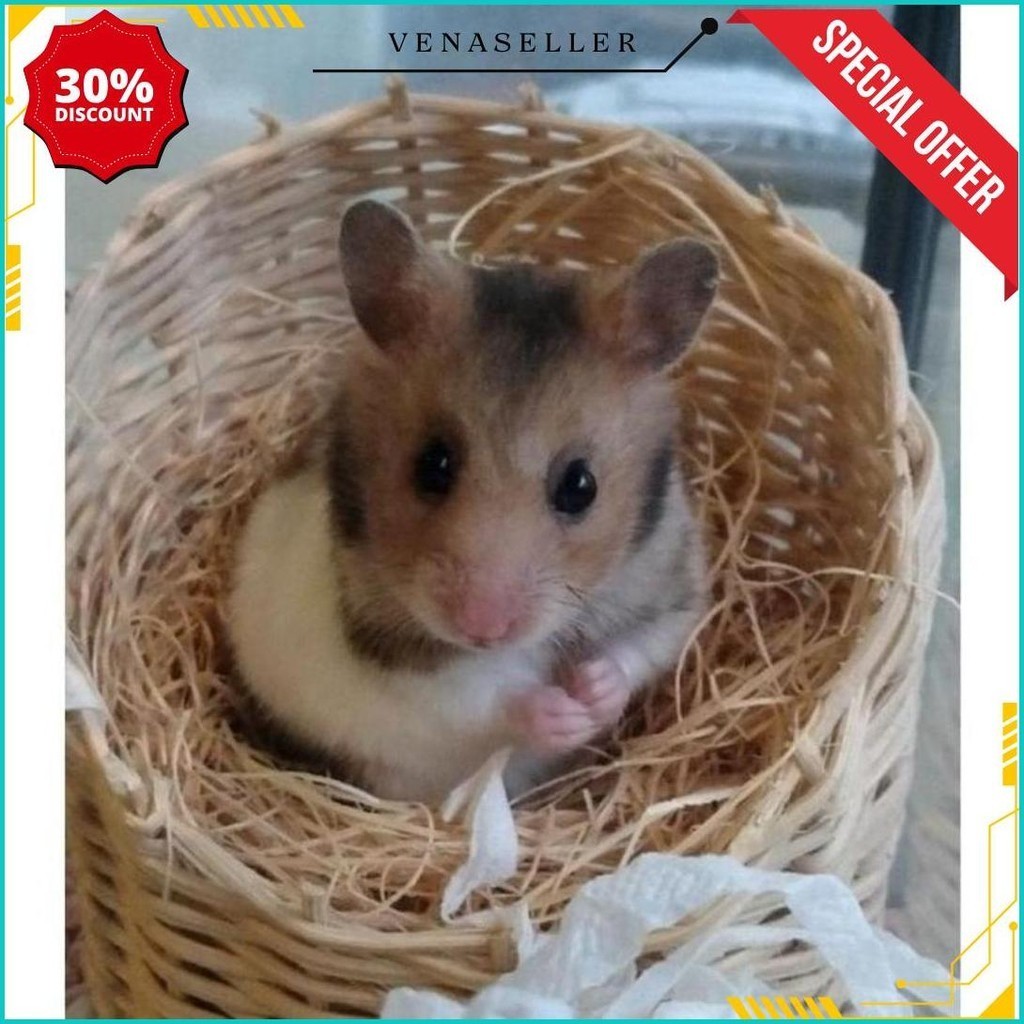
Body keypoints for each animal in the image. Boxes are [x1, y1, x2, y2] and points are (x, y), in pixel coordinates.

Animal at [227, 199, 718, 803]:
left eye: (581, 486)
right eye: (431, 465)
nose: (482, 627)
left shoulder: (674, 585)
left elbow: (642, 649)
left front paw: (591, 692)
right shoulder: (391, 658)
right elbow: (478, 697)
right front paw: (560, 713)